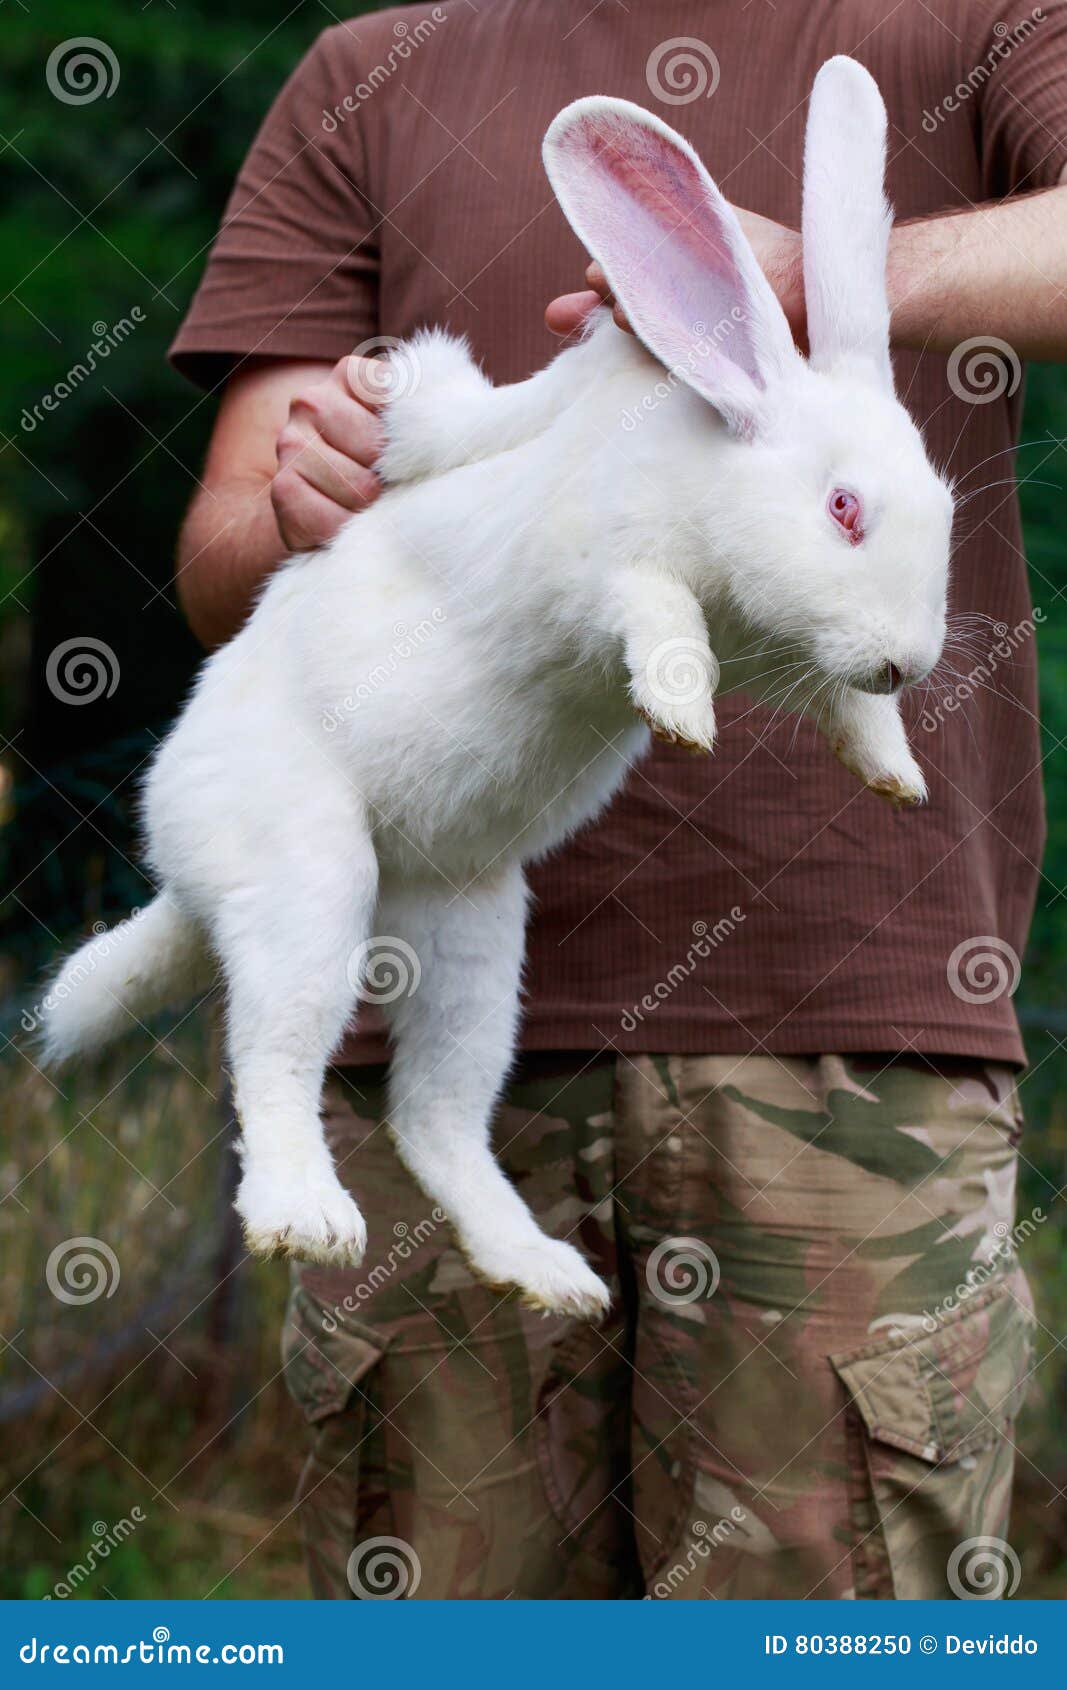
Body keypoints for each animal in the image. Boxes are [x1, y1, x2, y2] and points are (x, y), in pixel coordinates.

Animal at [38, 57, 953, 1322]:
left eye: (943, 508)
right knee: (272, 1057)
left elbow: (833, 699)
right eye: (843, 508)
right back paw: (307, 1219)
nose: (911, 659)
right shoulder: (596, 566)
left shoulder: (784, 650)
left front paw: (891, 767)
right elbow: (649, 608)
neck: (709, 470)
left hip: (471, 935)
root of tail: (180, 869)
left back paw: (545, 1278)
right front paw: (682, 711)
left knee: (433, 1118)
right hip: (310, 882)